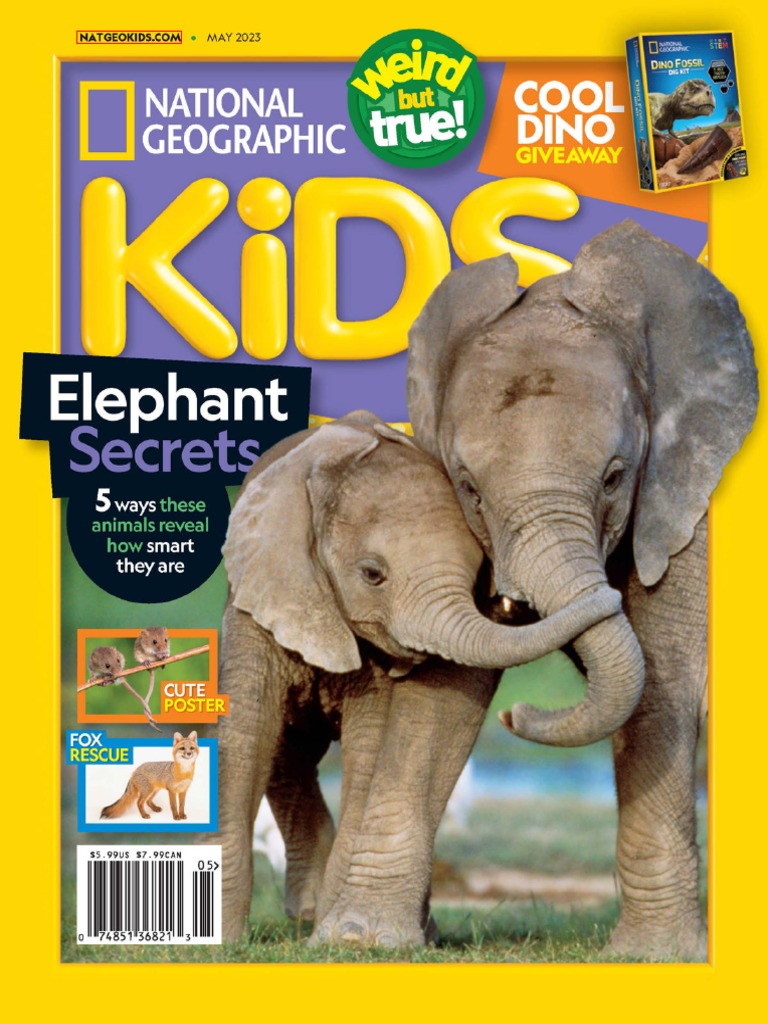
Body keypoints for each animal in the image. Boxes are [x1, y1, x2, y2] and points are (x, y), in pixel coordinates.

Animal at [211, 409, 621, 944]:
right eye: (372, 574)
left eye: (477, 573)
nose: (513, 714)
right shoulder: (261, 598)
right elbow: (248, 734)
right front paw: (216, 940)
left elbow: (368, 749)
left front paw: (343, 937)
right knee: (286, 751)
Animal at [405, 220, 758, 960]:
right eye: (468, 487)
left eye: (615, 477)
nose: (516, 715)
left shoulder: (686, 510)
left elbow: (659, 684)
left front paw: (652, 956)